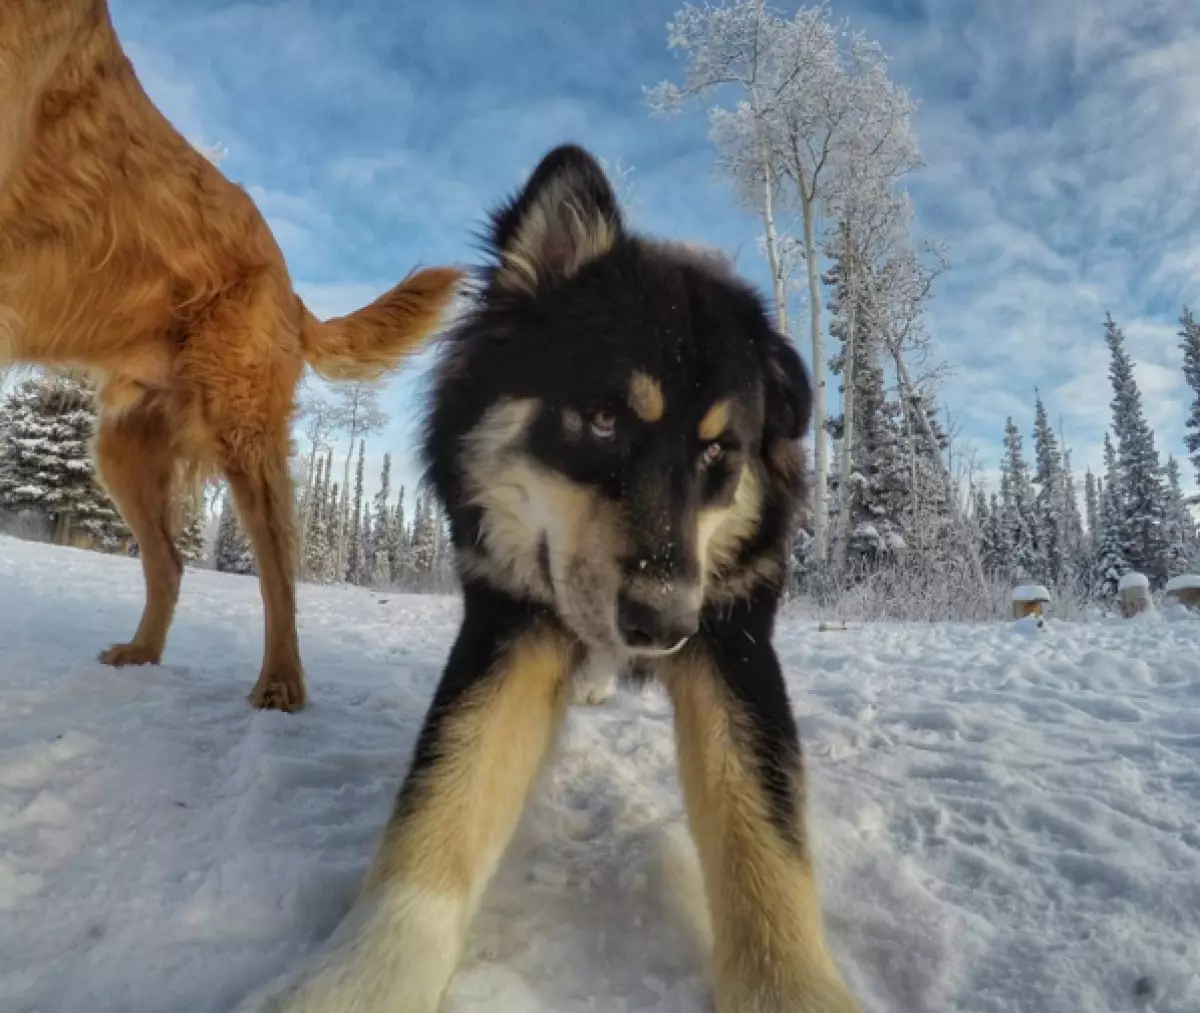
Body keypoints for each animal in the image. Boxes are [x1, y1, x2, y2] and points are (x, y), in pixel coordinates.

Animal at [0, 1, 460, 710]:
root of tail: (292, 287)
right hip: (124, 450)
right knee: (169, 561)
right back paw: (142, 654)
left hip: (240, 427)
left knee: (279, 570)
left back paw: (281, 685)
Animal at [241, 146, 864, 1012]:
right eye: (601, 419)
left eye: (718, 451)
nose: (663, 624)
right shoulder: (510, 626)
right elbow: (443, 798)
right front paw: (360, 979)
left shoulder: (734, 640)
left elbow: (766, 845)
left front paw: (796, 987)